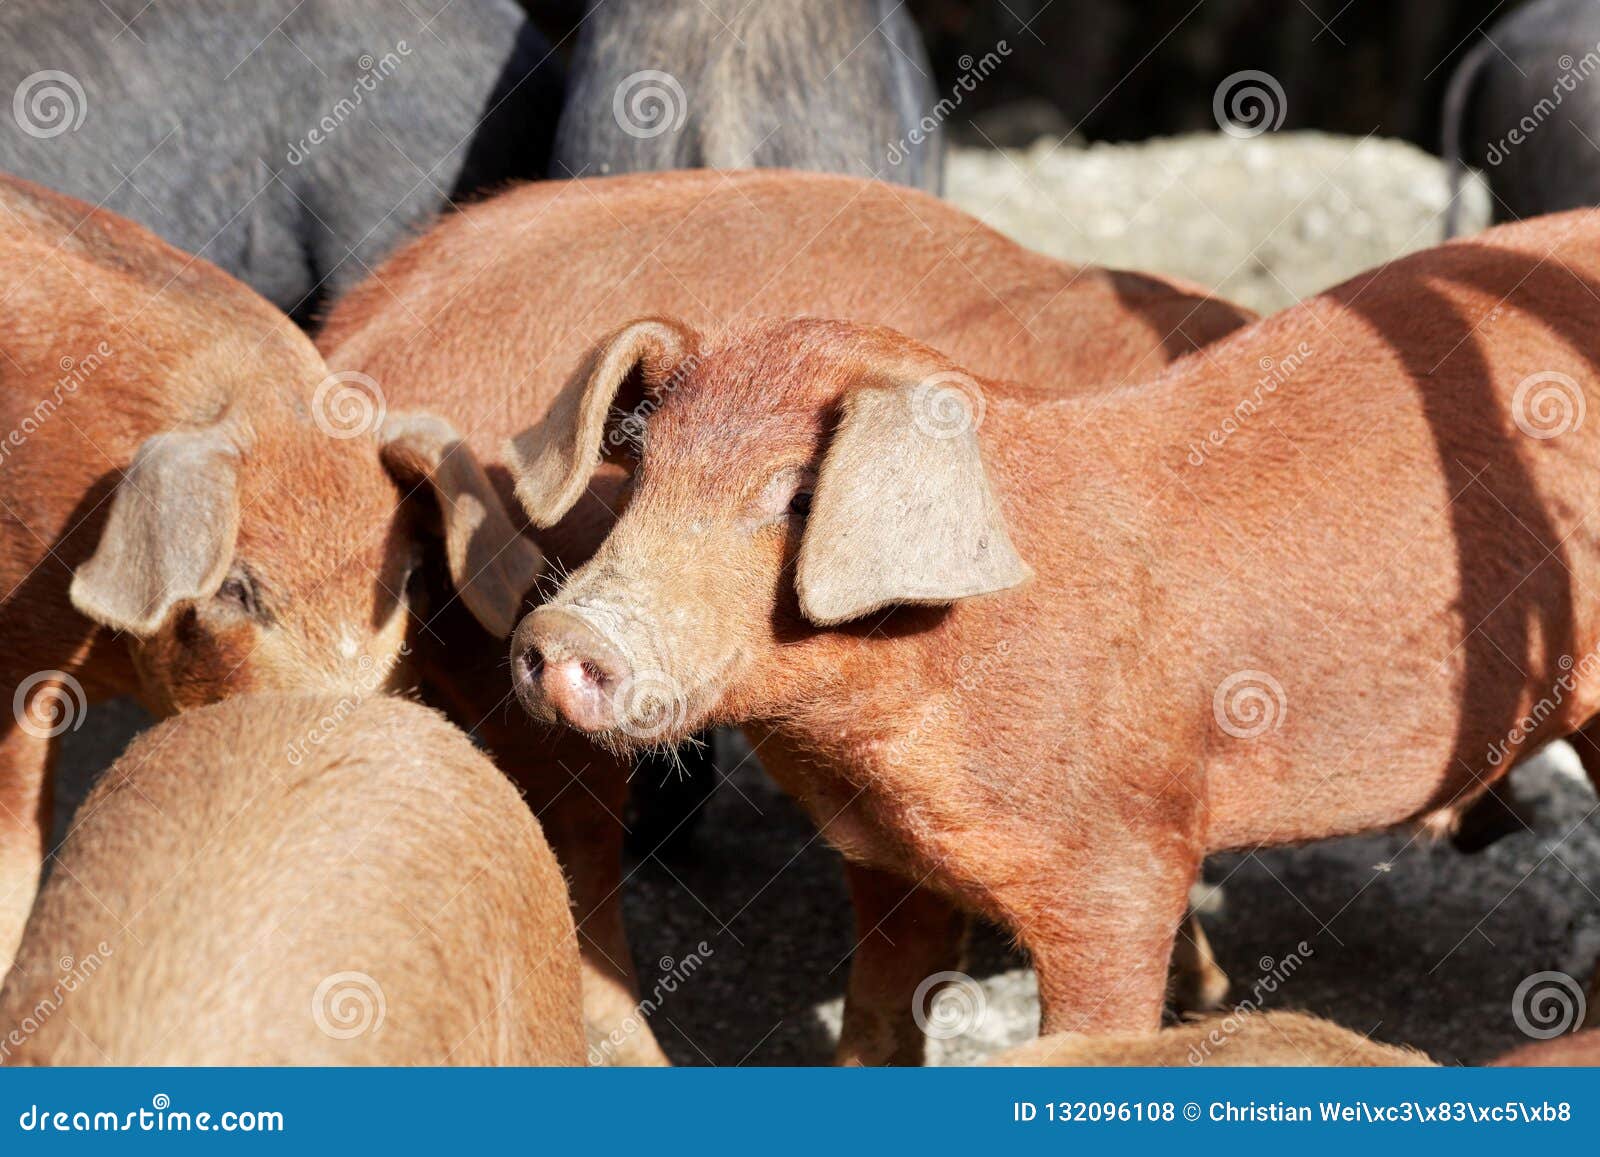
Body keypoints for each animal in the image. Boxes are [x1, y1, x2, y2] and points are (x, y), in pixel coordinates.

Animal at [507, 207, 1600, 1058]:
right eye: (641, 469)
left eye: (800, 497)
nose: (560, 626)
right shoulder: (884, 856)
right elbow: (879, 1014)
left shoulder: (1125, 857)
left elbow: (1098, 1019)